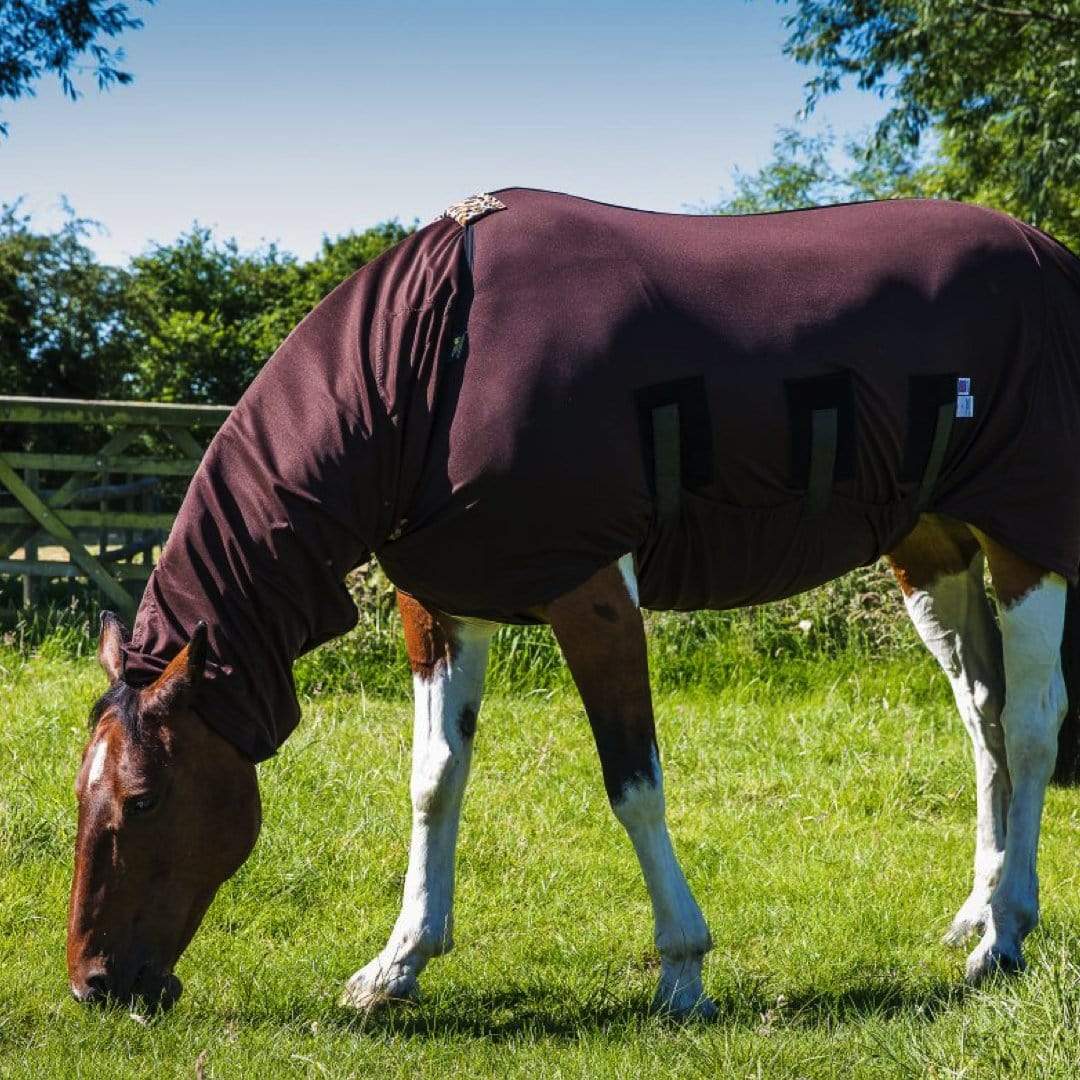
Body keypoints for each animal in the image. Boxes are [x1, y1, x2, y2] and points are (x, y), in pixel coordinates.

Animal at [68, 189, 1080, 1017]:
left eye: (145, 800)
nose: (94, 985)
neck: (437, 365)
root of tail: (1051, 257)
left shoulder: (591, 593)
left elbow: (633, 782)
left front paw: (683, 968)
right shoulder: (444, 604)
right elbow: (434, 780)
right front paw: (397, 964)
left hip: (1027, 545)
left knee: (1031, 727)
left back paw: (1005, 937)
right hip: (933, 551)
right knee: (983, 719)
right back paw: (977, 910)